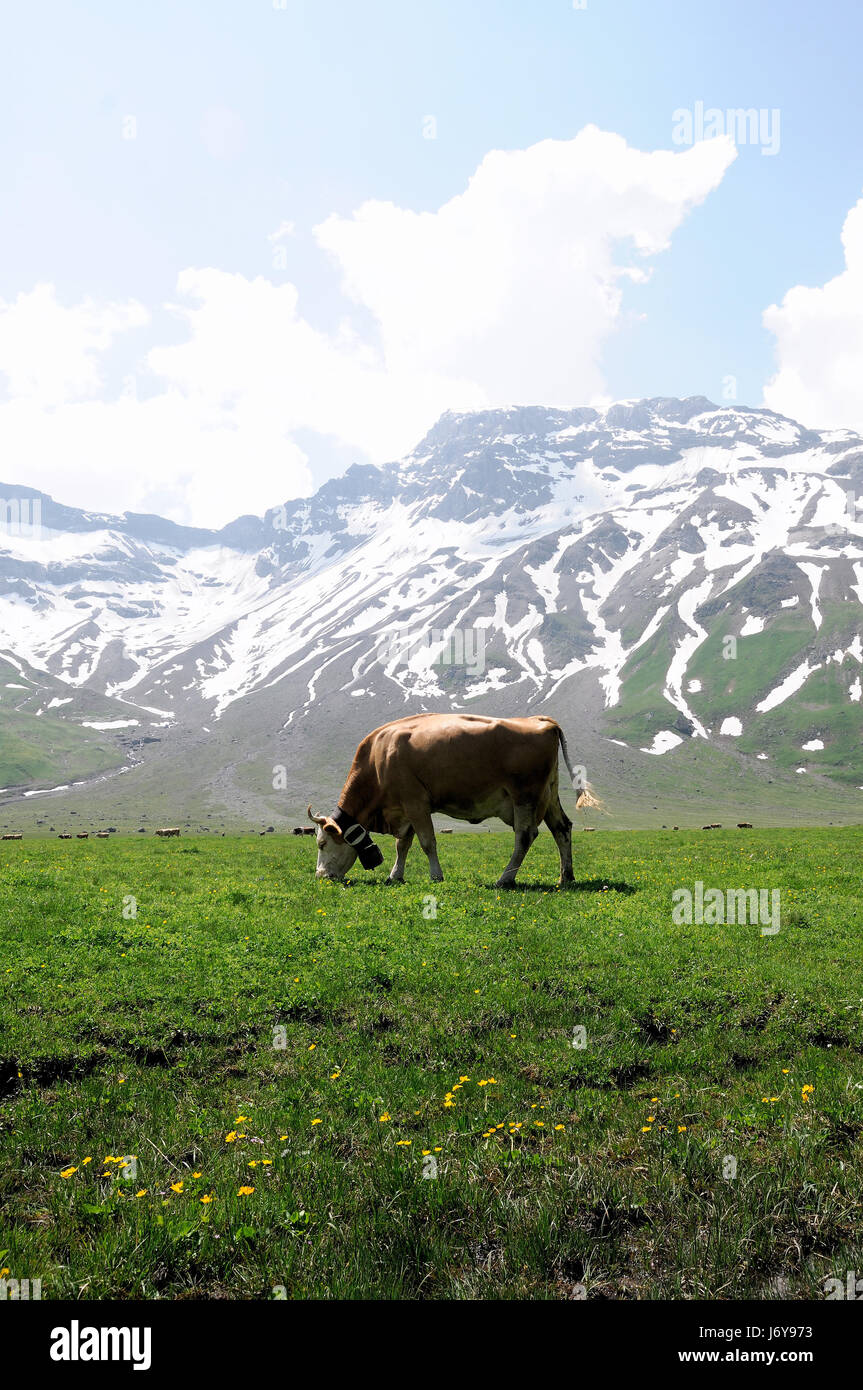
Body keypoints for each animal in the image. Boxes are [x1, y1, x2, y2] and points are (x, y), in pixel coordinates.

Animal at [307, 713, 599, 888]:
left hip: (525, 796)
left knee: (525, 836)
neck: (379, 757)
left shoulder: (416, 803)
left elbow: (427, 843)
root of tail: (542, 721)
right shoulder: (405, 809)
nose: (320, 876)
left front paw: (436, 876)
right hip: (549, 794)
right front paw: (395, 875)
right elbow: (403, 845)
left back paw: (505, 878)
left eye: (322, 843)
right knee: (562, 829)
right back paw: (566, 877)